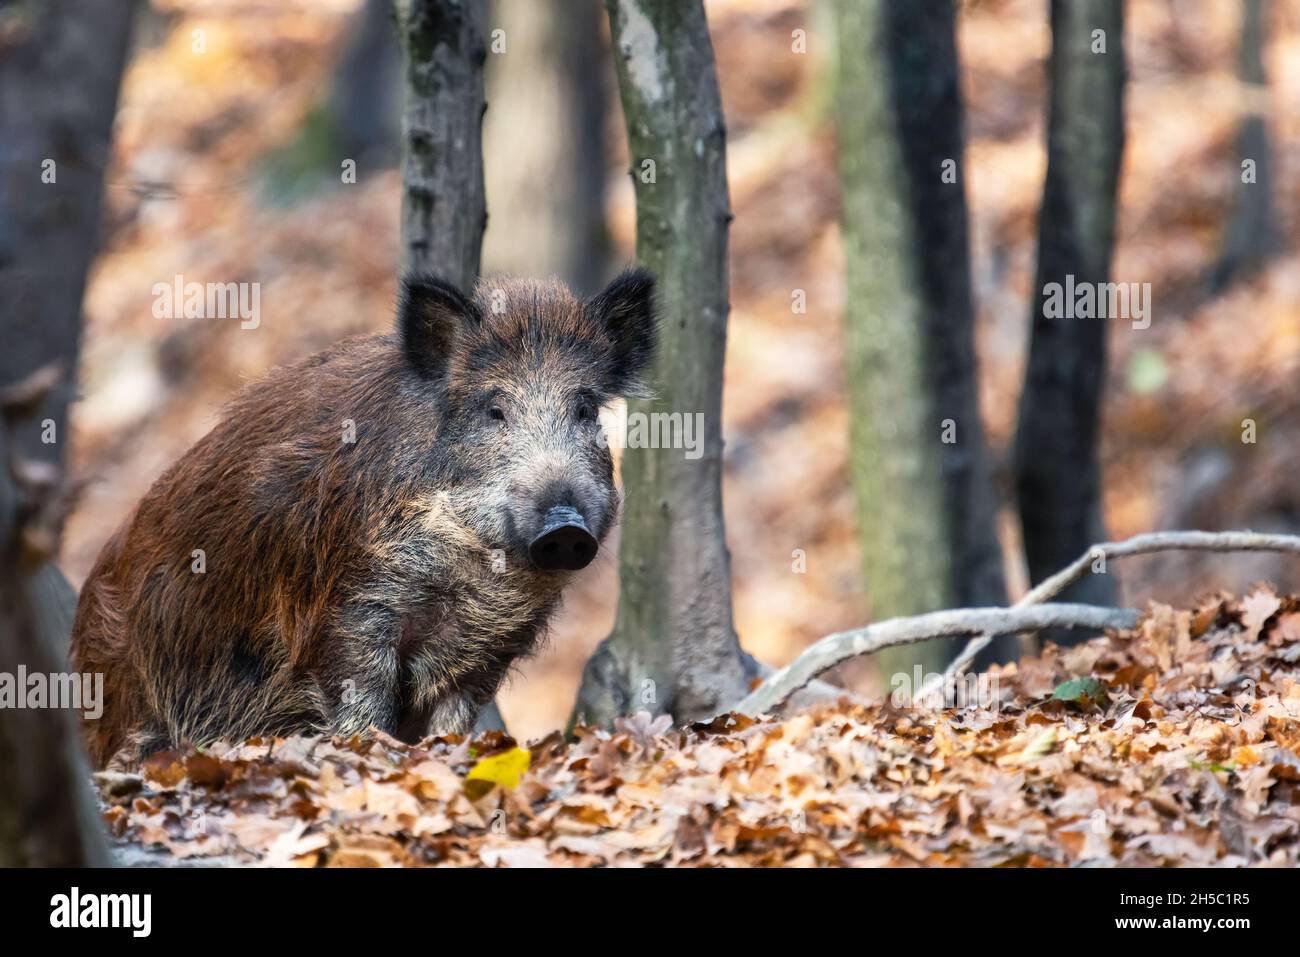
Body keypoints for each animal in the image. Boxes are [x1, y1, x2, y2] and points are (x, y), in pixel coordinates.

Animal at [70, 270, 657, 766]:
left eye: (585, 409)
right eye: (494, 410)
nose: (565, 526)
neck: (474, 575)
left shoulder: (490, 648)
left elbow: (453, 719)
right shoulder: (350, 607)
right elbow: (362, 702)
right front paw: (368, 753)